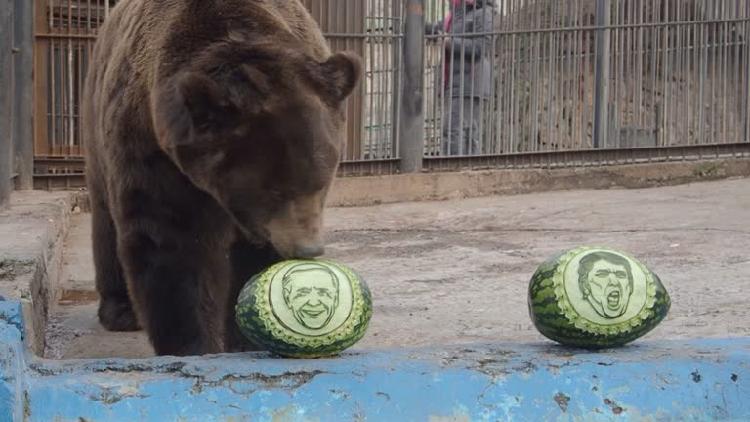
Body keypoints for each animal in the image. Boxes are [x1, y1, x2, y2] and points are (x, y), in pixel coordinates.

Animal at [81, 0, 361, 356]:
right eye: (273, 190)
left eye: (322, 183)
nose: (308, 248)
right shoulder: (151, 149)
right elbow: (171, 243)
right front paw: (192, 344)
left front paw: (246, 338)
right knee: (106, 219)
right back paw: (120, 311)